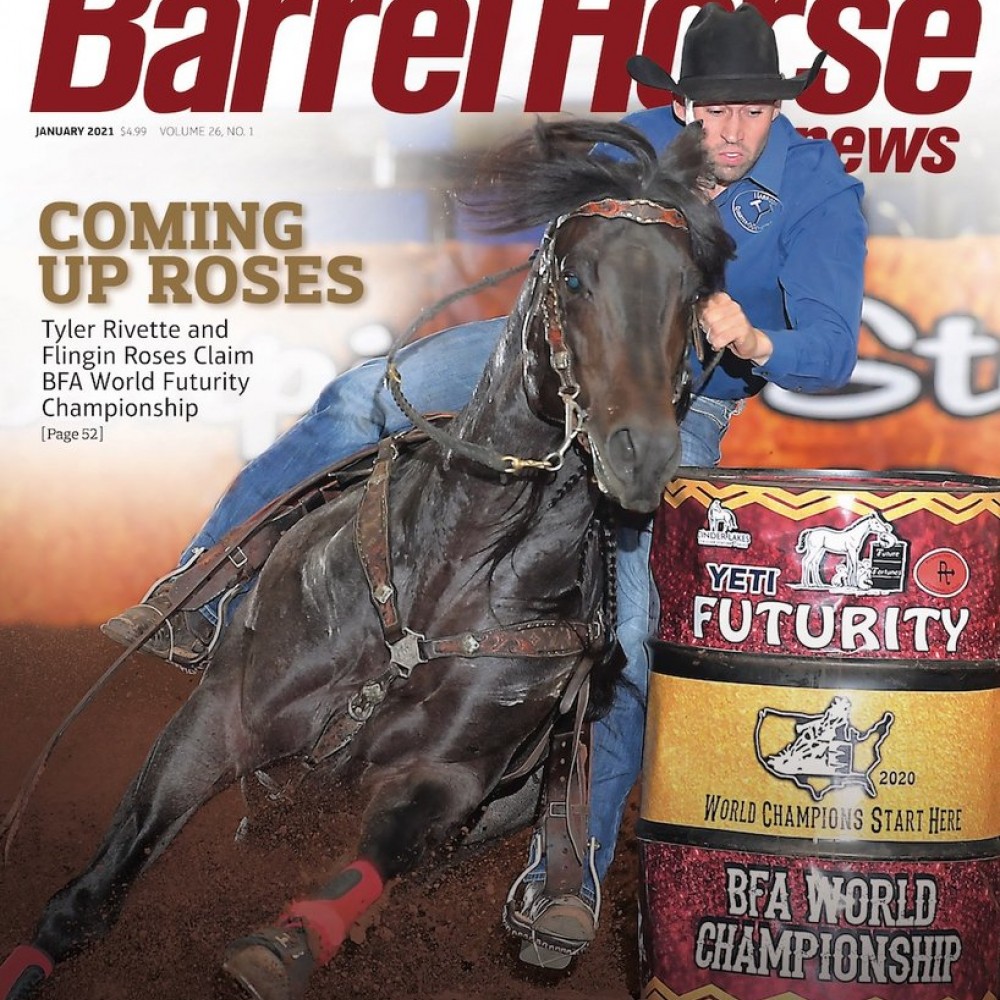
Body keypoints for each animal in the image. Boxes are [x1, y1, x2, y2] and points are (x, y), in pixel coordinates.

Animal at [0, 119, 732, 1000]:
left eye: (692, 293)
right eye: (576, 278)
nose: (641, 453)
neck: (448, 577)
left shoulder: (447, 782)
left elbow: (361, 872)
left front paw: (278, 948)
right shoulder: (223, 717)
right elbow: (92, 897)